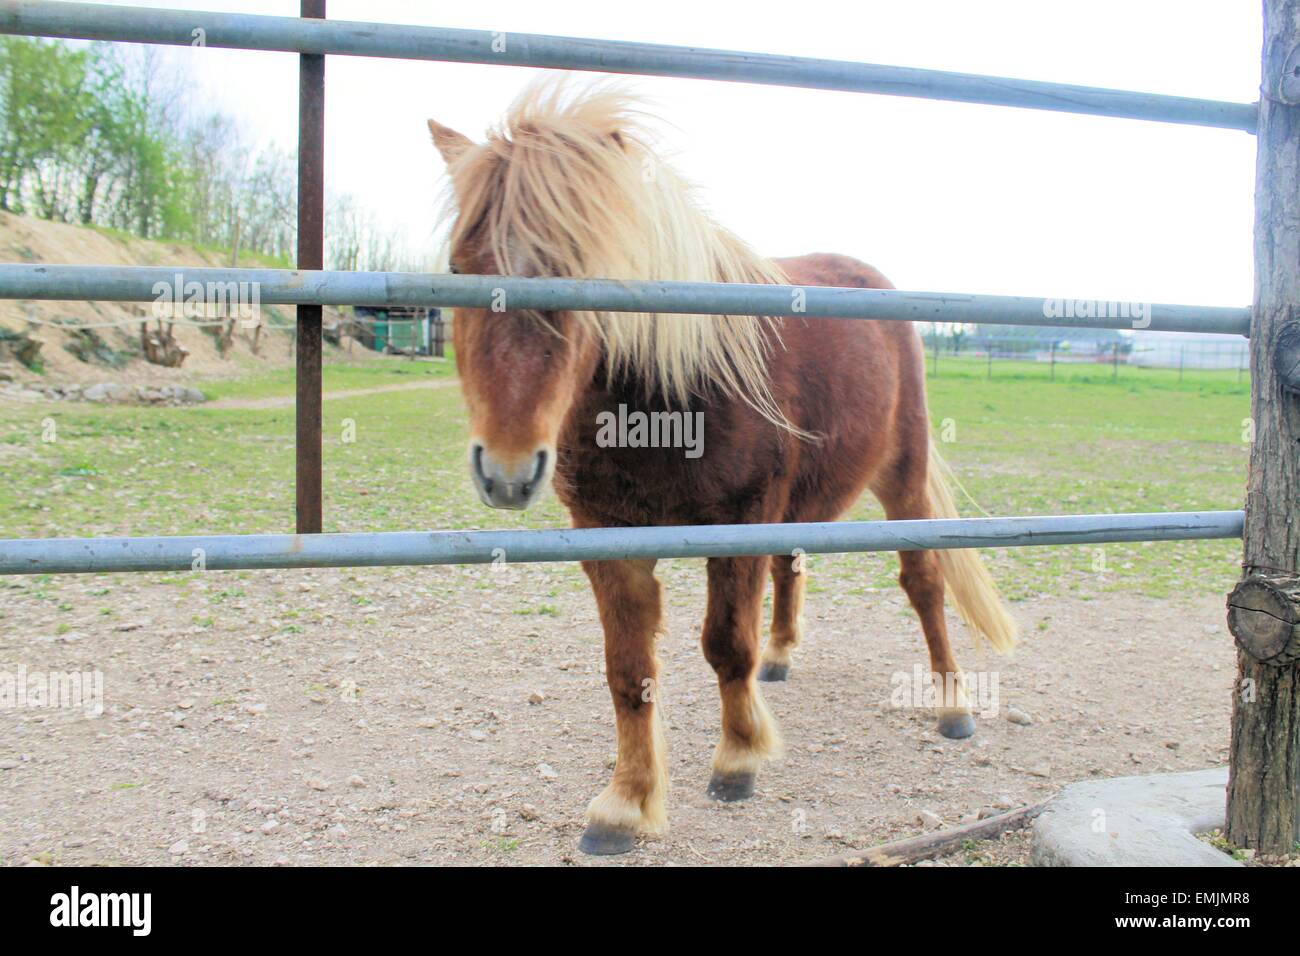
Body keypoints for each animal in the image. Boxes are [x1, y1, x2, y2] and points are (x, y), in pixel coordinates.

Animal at [427, 79, 1017, 856]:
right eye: (458, 271)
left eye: (585, 269)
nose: (506, 468)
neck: (664, 396)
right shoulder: (608, 536)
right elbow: (628, 669)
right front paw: (625, 803)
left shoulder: (738, 521)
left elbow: (725, 644)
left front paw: (737, 760)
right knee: (791, 570)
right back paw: (783, 656)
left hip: (903, 475)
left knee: (922, 582)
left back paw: (951, 706)